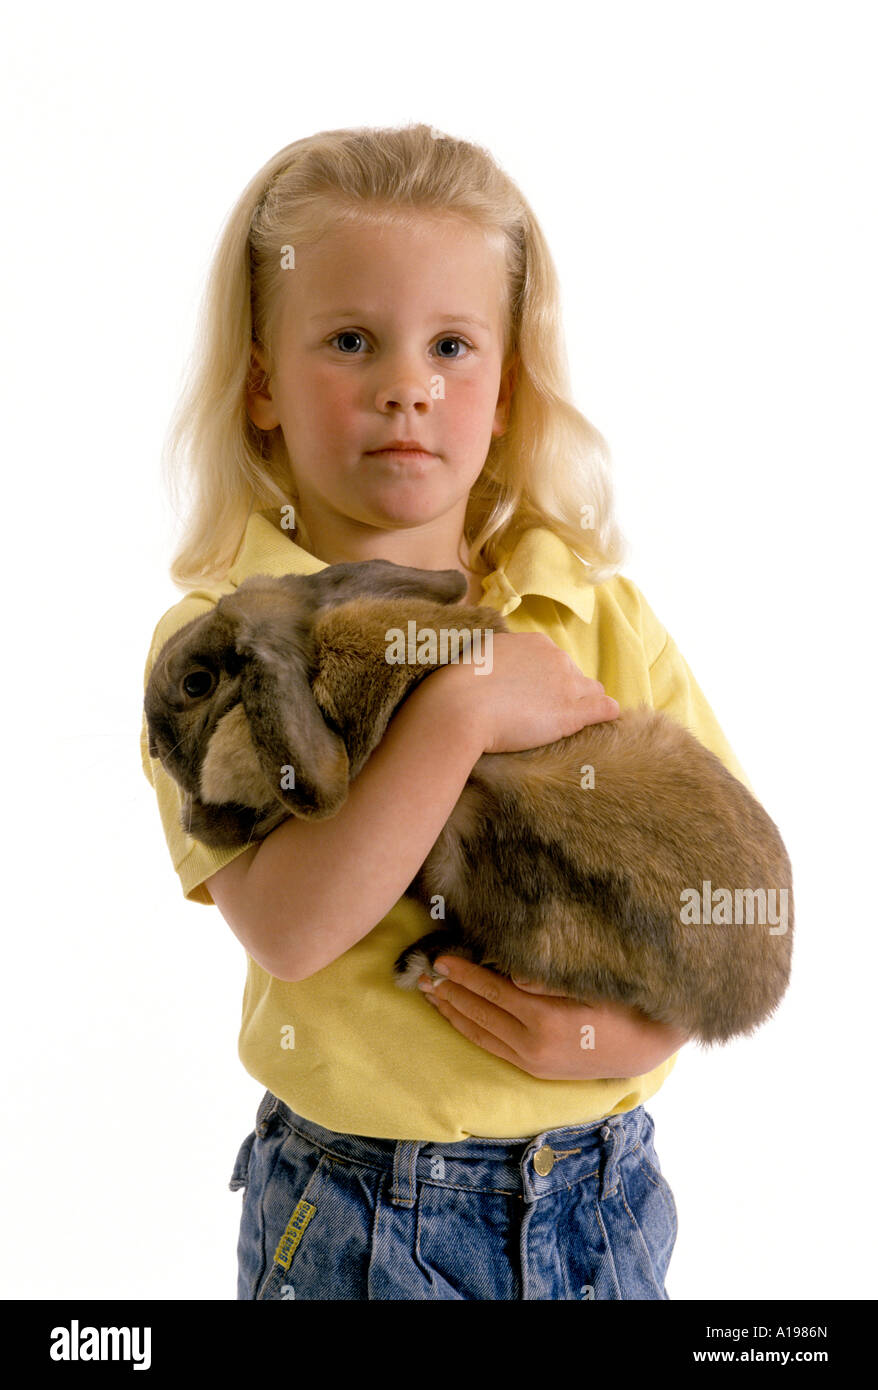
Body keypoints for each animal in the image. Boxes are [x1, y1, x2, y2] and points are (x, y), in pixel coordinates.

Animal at [144, 557, 794, 1044]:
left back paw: (421, 961)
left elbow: (315, 788)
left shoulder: (323, 758)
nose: (151, 746)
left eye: (196, 683)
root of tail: (740, 1007)